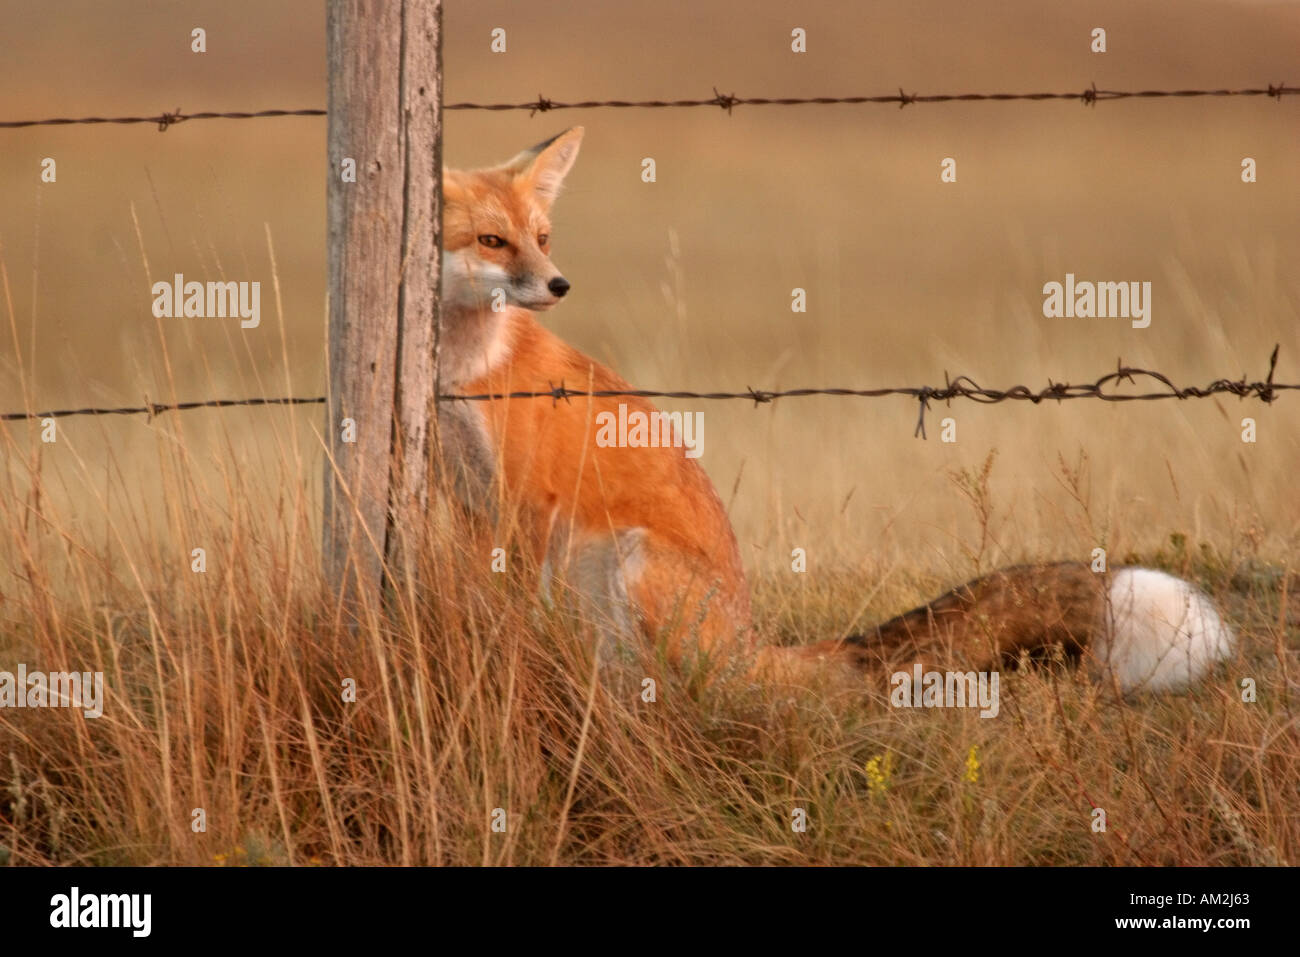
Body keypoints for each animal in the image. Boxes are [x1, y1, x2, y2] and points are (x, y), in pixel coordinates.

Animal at [437, 126, 1236, 694]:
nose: (559, 285)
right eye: (492, 241)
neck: (467, 365)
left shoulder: (529, 503)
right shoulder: (474, 497)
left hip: (625, 559)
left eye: (542, 238)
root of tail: (752, 643)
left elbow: (511, 611)